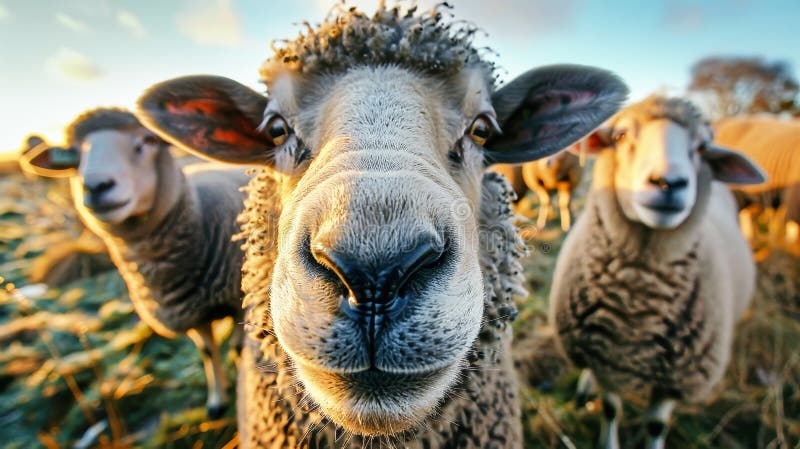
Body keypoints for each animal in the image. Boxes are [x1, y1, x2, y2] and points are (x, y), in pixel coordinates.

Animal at [19, 108, 250, 418]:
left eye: (147, 141)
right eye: (75, 156)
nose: (96, 186)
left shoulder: (238, 302)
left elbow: (239, 349)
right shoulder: (186, 313)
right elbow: (207, 352)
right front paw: (217, 400)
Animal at [549, 95, 765, 449]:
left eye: (702, 147)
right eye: (620, 135)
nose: (669, 183)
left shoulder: (676, 379)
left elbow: (655, 425)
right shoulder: (607, 360)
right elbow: (610, 408)